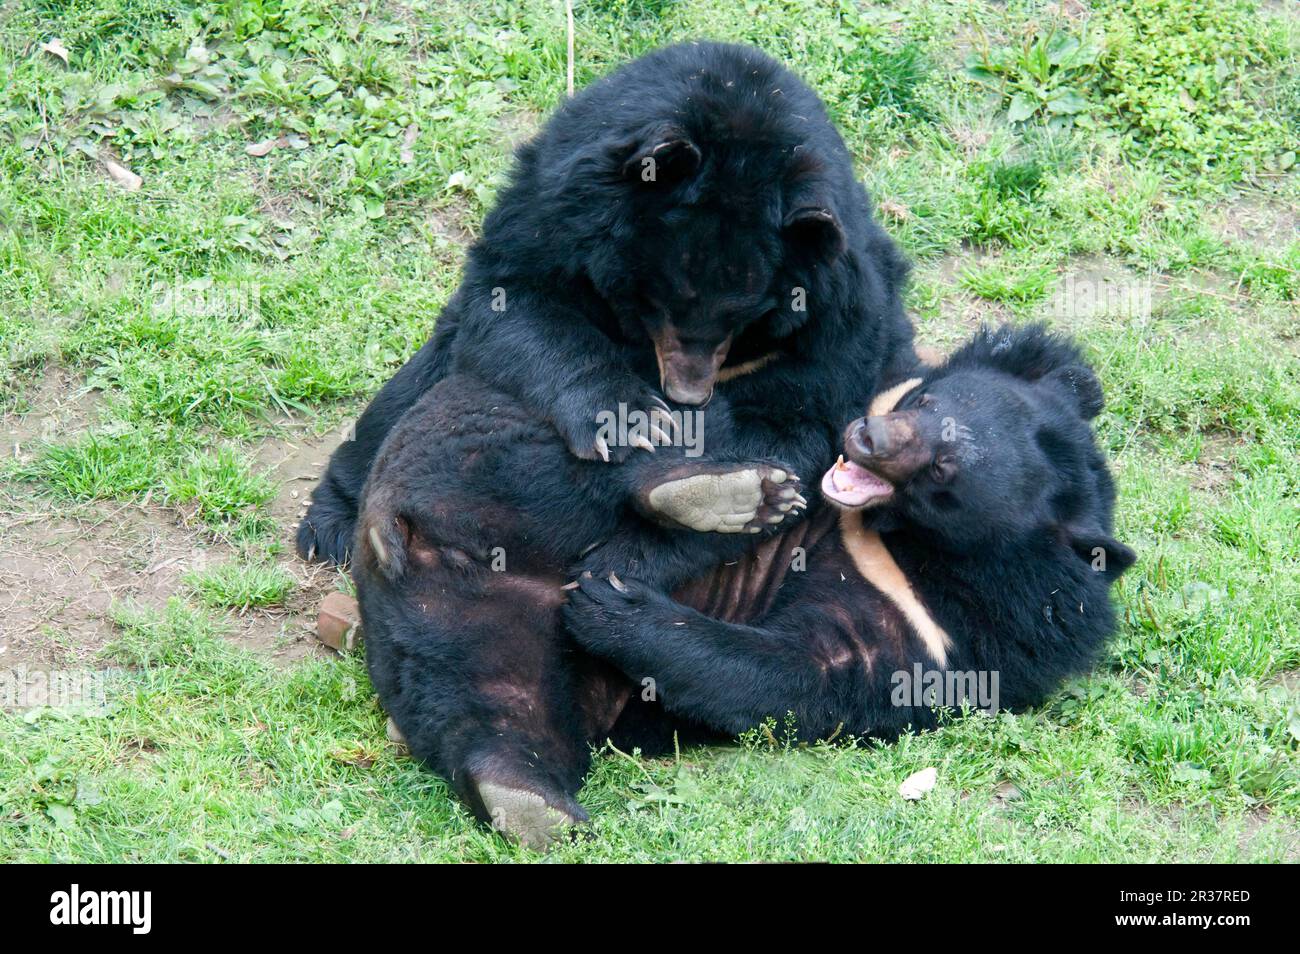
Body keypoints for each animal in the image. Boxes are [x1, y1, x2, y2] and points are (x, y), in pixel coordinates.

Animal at [297, 40, 915, 568]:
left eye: (744, 317)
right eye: (662, 300)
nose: (687, 394)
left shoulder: (845, 303)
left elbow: (802, 407)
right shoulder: (561, 206)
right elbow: (517, 295)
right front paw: (633, 421)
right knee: (398, 402)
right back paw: (332, 525)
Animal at [563, 324, 1137, 742]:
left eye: (942, 469)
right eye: (925, 403)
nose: (867, 437)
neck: (894, 540)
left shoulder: (942, 628)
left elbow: (798, 676)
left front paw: (611, 603)